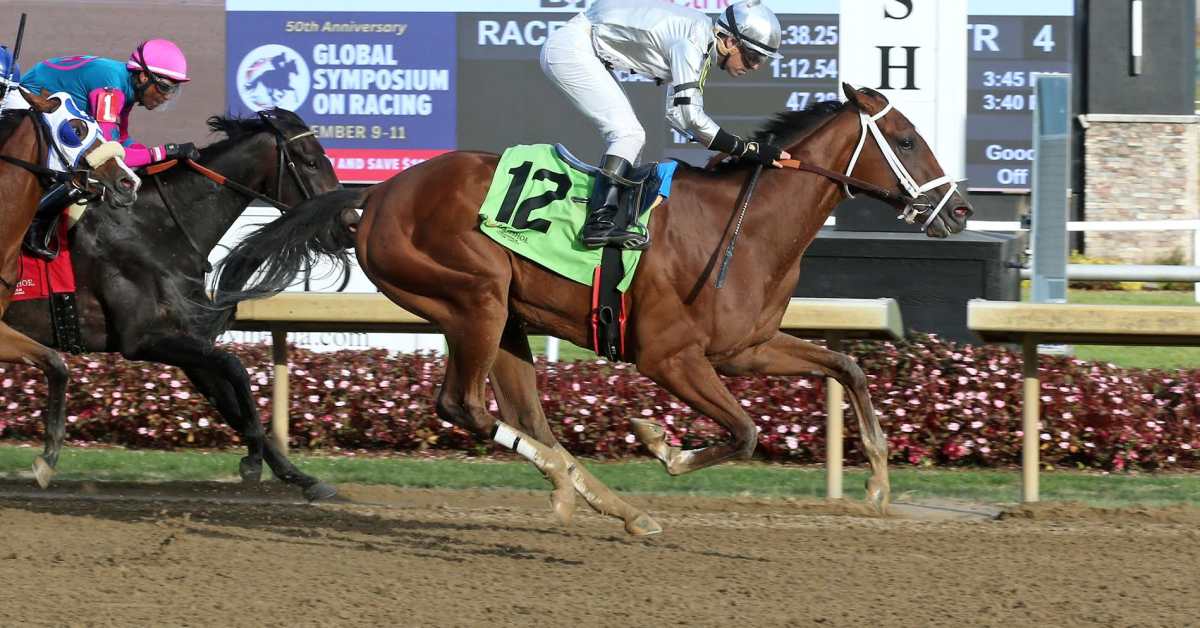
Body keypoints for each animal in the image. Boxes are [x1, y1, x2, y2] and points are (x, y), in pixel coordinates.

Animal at [208, 84, 974, 534]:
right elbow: (746, 432)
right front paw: (658, 439)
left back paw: (599, 499)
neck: (742, 224)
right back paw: (592, 493)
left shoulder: (745, 348)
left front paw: (878, 481)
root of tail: (375, 198)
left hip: (507, 320)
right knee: (466, 407)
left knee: (525, 416)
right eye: (907, 140)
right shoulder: (669, 357)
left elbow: (846, 364)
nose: (960, 210)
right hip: (474, 297)